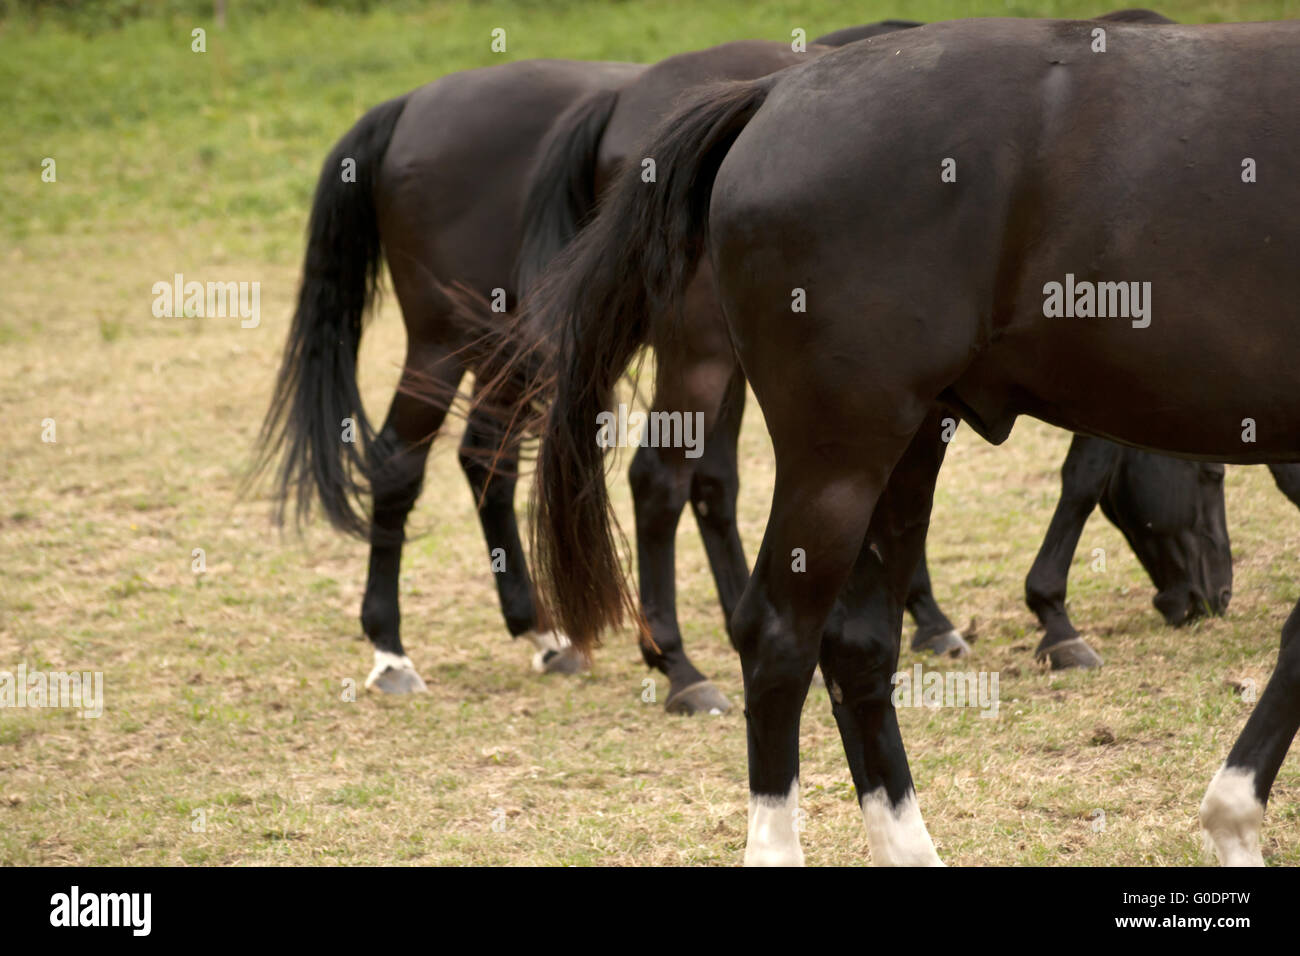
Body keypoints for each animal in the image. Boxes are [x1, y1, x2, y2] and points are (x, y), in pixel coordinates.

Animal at [514, 18, 1300, 865]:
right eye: (1211, 477)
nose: (1211, 597)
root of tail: (773, 92)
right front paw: (1233, 818)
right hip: (825, 446)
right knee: (764, 616)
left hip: (904, 440)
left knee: (851, 639)